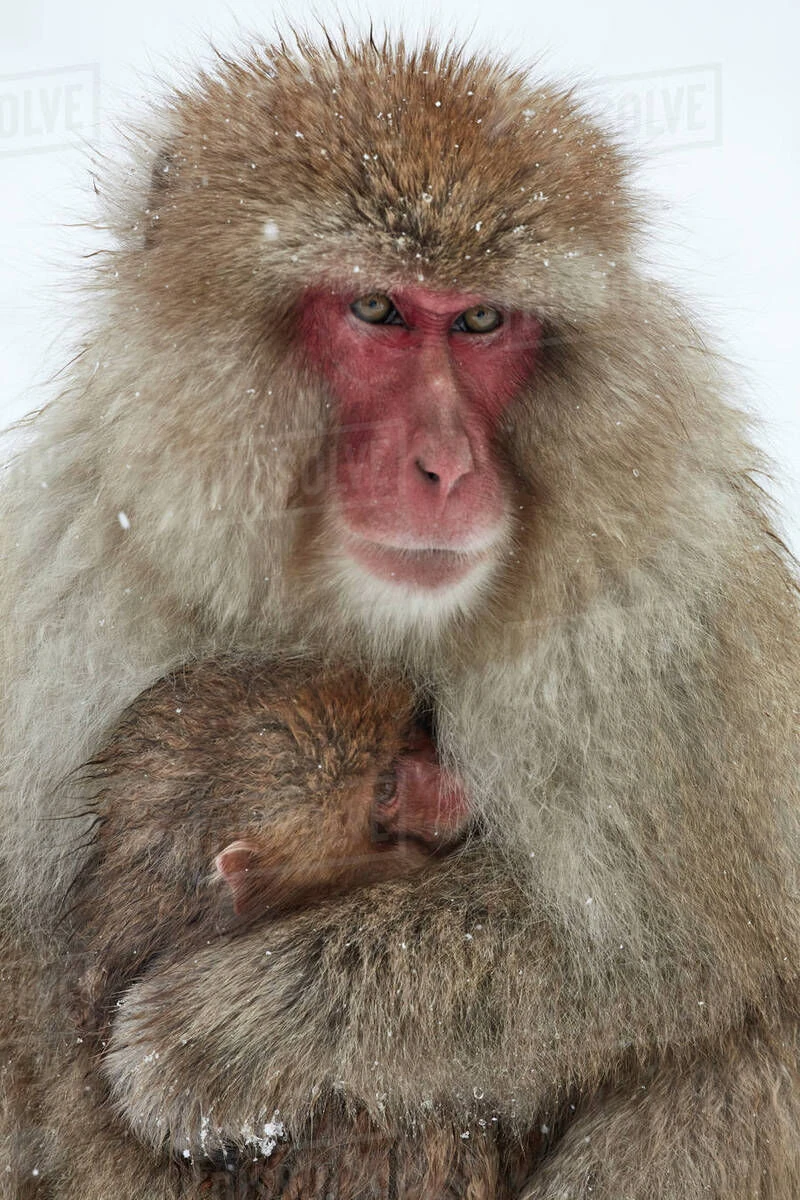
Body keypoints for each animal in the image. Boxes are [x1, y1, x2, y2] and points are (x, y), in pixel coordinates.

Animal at [0, 29, 797, 1200]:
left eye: (480, 320)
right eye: (376, 310)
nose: (446, 466)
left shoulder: (662, 617)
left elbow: (675, 959)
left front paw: (222, 1035)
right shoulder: (63, 567)